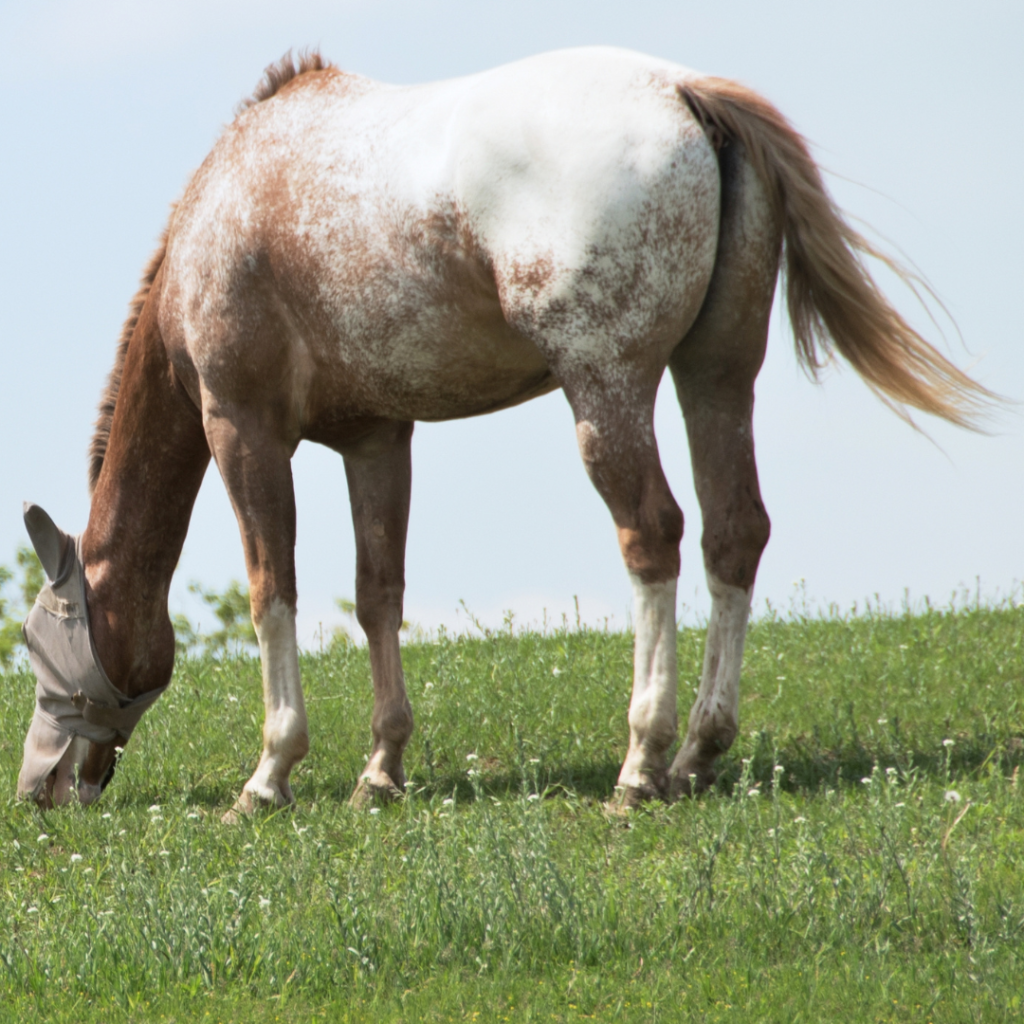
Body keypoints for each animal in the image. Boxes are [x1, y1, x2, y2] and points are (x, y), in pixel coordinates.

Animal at [18, 47, 989, 815]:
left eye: (36, 641)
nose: (39, 787)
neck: (228, 203)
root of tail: (684, 91)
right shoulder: (378, 437)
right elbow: (377, 595)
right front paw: (381, 768)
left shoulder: (242, 428)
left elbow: (272, 593)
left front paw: (270, 773)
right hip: (716, 379)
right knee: (733, 533)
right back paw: (697, 754)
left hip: (606, 387)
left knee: (654, 536)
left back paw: (642, 762)